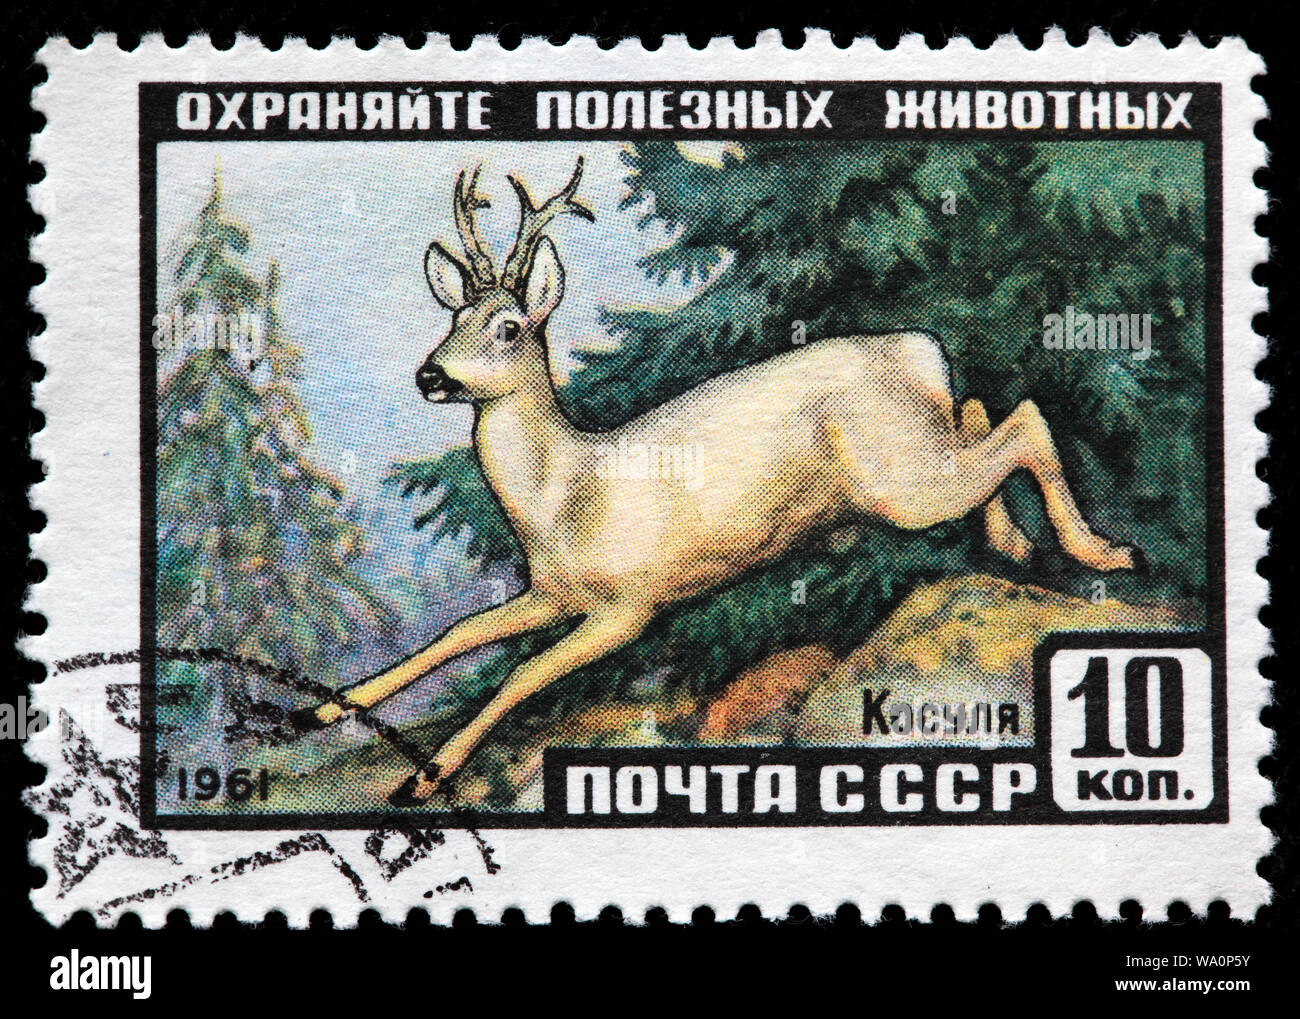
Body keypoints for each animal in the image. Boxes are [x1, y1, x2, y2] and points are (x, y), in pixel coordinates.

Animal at [290, 157, 1138, 806]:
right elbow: (459, 631)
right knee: (980, 409)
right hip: (916, 452)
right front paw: (316, 711)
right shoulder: (552, 590)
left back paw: (1102, 552)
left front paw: (422, 777)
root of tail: (917, 347)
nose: (431, 375)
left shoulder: (630, 605)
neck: (561, 497)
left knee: (1026, 417)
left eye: (506, 327)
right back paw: (1016, 542)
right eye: (453, 317)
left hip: (898, 482)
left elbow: (523, 671)